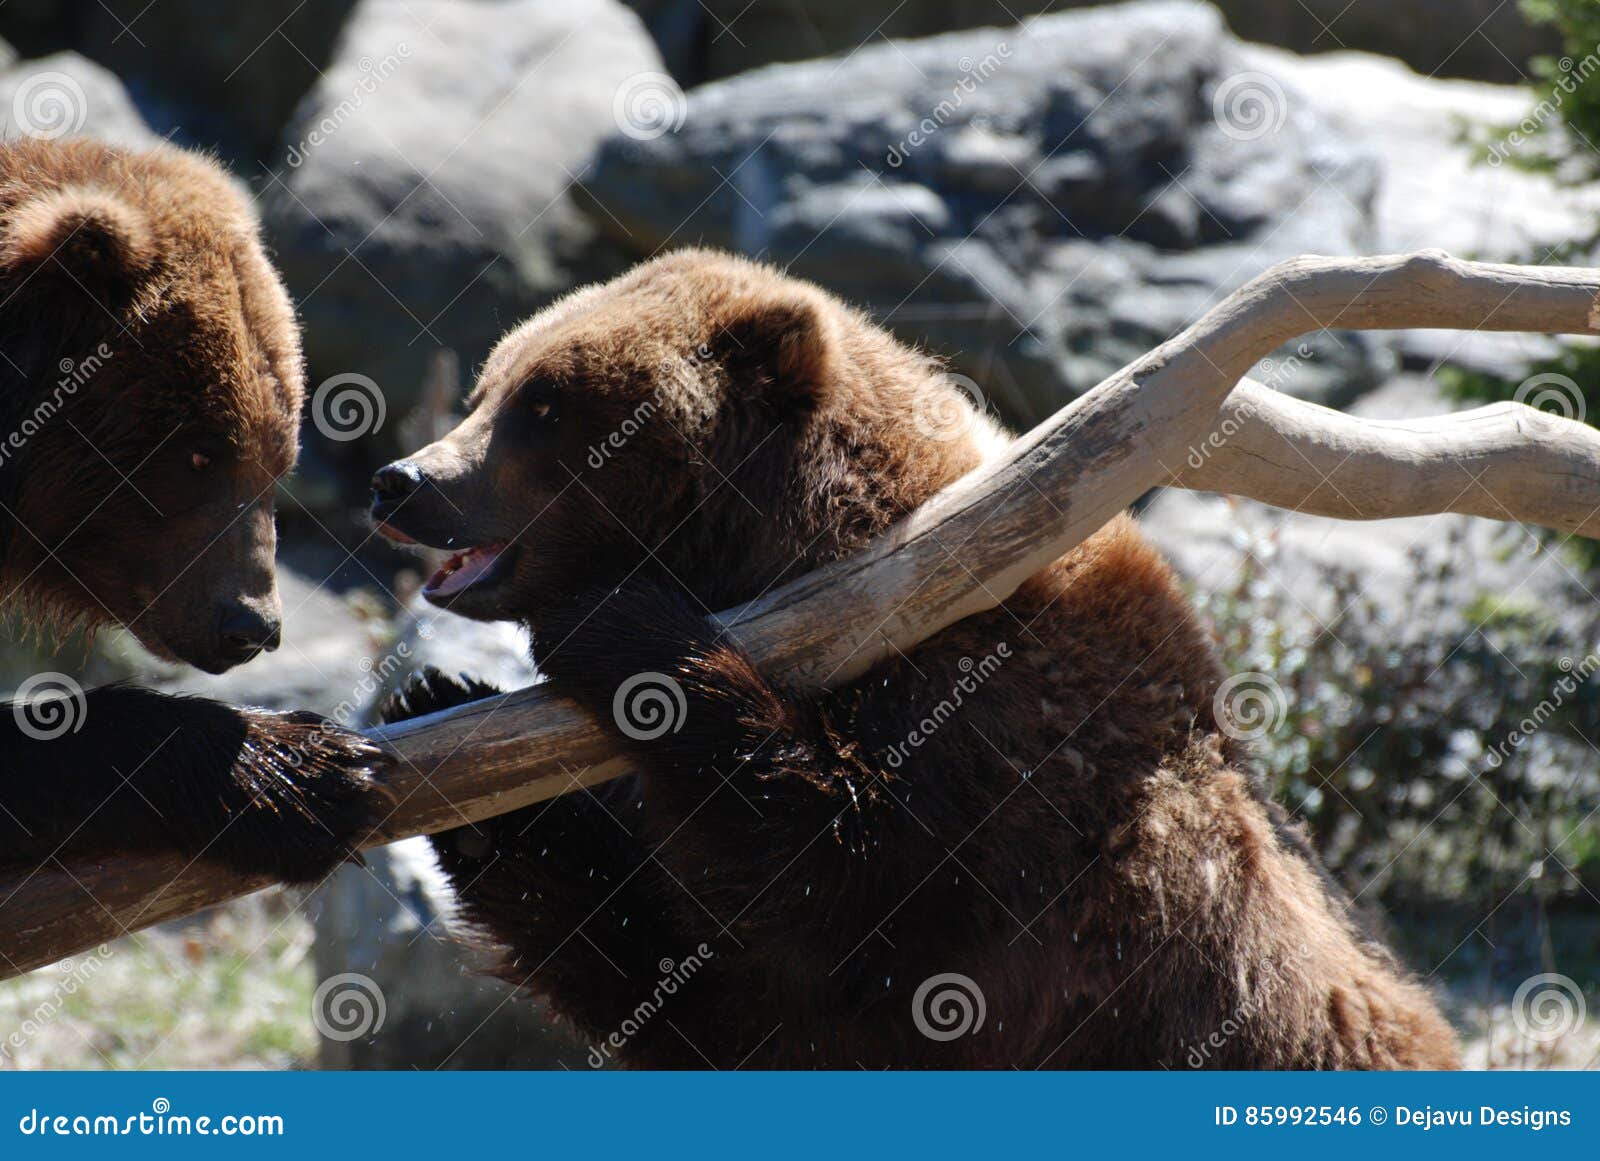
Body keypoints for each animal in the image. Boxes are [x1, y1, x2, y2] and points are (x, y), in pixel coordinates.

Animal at [371, 247, 1461, 1069]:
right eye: (490, 386)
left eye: (548, 406)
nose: (403, 479)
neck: (792, 558)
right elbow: (676, 973)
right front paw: (435, 704)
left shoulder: (1012, 774)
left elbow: (846, 885)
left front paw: (610, 626)